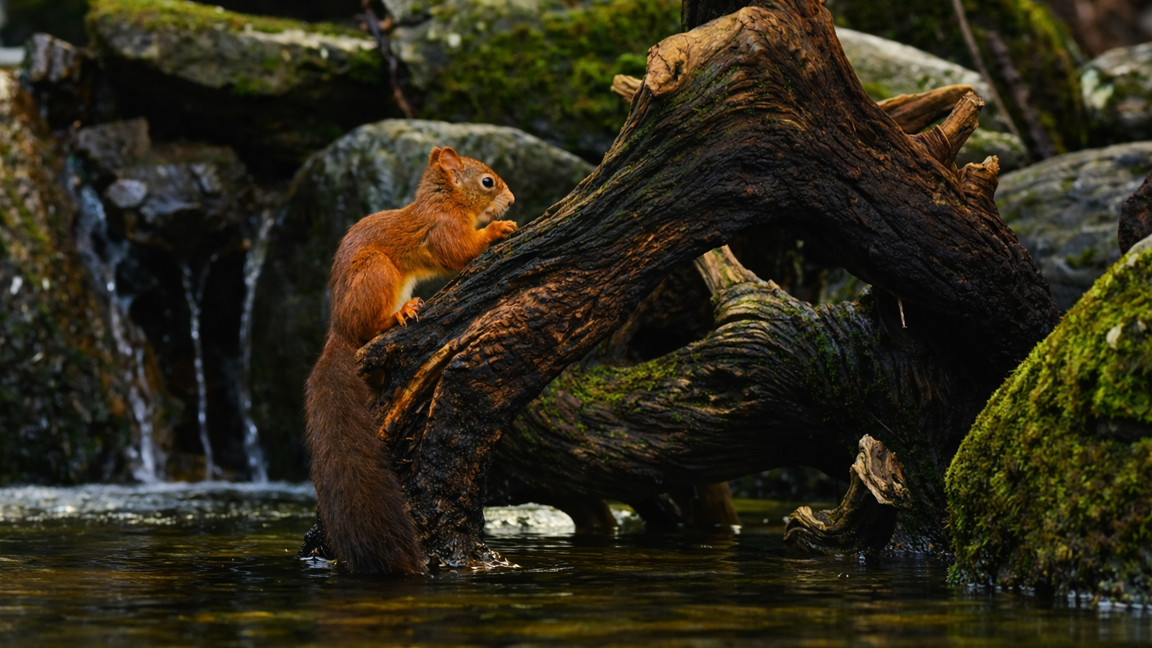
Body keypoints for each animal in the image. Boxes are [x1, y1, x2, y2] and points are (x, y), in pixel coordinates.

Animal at [303, 146, 517, 574]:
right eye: (488, 181)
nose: (512, 200)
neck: (446, 201)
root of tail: (339, 328)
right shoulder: (442, 229)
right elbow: (460, 251)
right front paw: (499, 229)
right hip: (376, 272)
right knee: (370, 327)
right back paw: (398, 315)